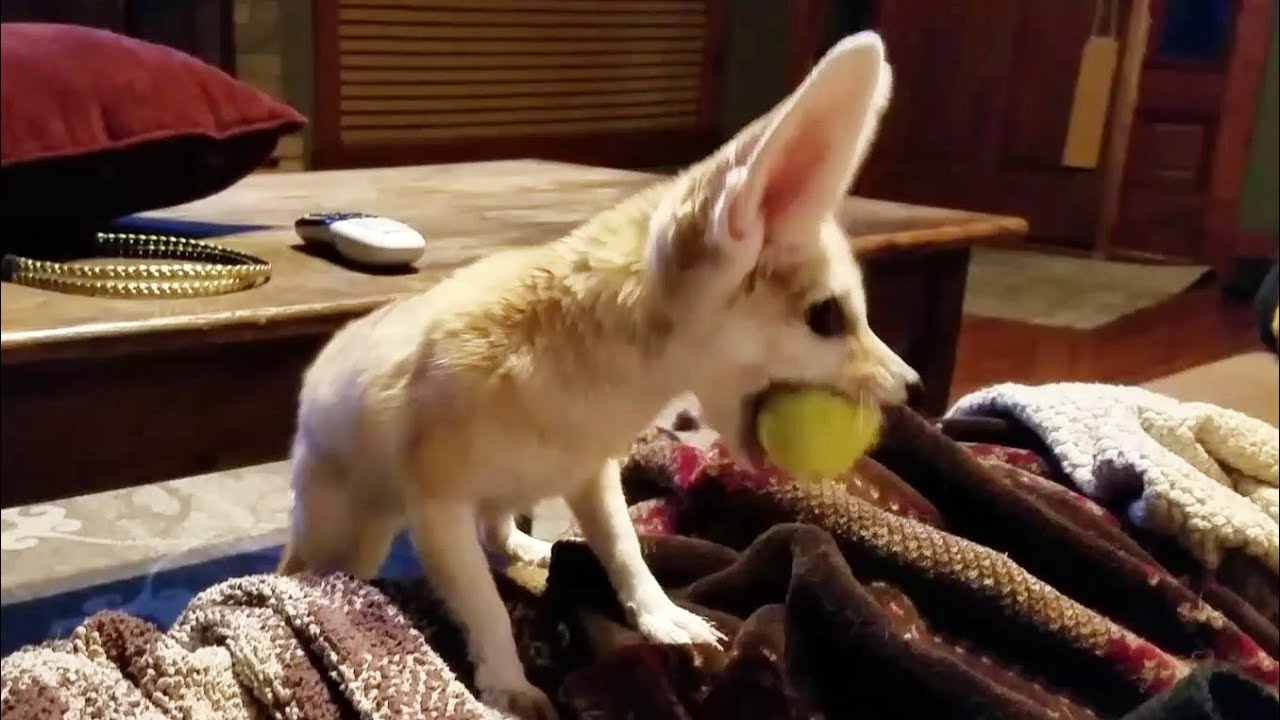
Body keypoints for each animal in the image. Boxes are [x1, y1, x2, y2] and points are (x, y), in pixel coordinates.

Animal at [278, 32, 919, 719]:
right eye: (827, 319)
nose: (913, 386)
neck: (591, 386)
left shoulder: (593, 475)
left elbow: (625, 550)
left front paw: (661, 616)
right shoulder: (437, 508)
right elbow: (485, 605)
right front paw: (508, 683)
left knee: (498, 524)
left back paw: (526, 546)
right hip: (345, 531)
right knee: (313, 564)